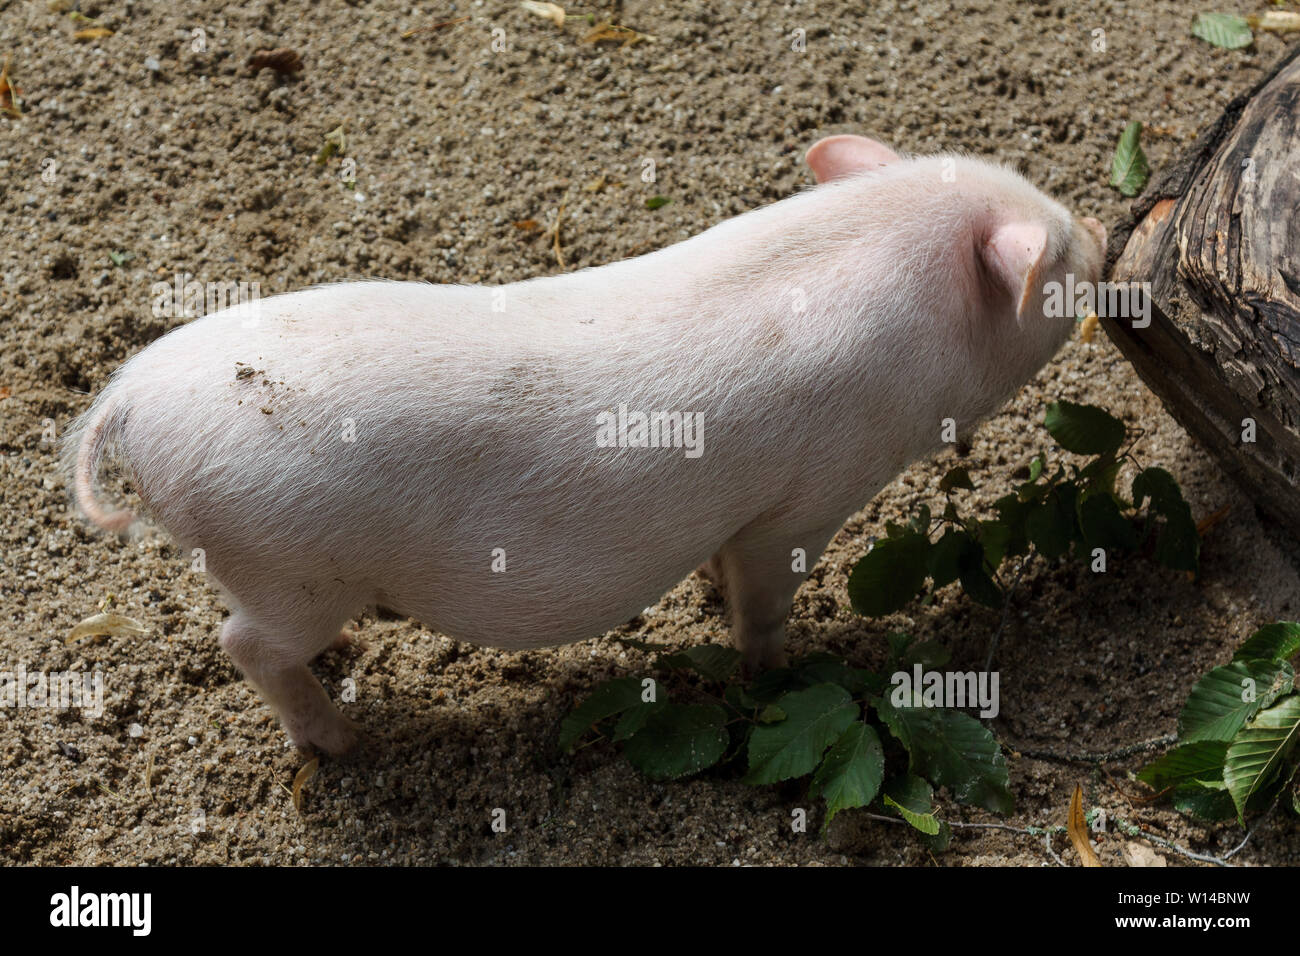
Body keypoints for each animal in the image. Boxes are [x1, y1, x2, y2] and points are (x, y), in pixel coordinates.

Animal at [66, 135, 1107, 755]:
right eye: (1056, 257)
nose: (1101, 225)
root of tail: (131, 400)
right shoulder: (806, 499)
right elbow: (764, 600)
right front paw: (783, 669)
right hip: (285, 563)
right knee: (241, 643)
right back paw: (347, 745)